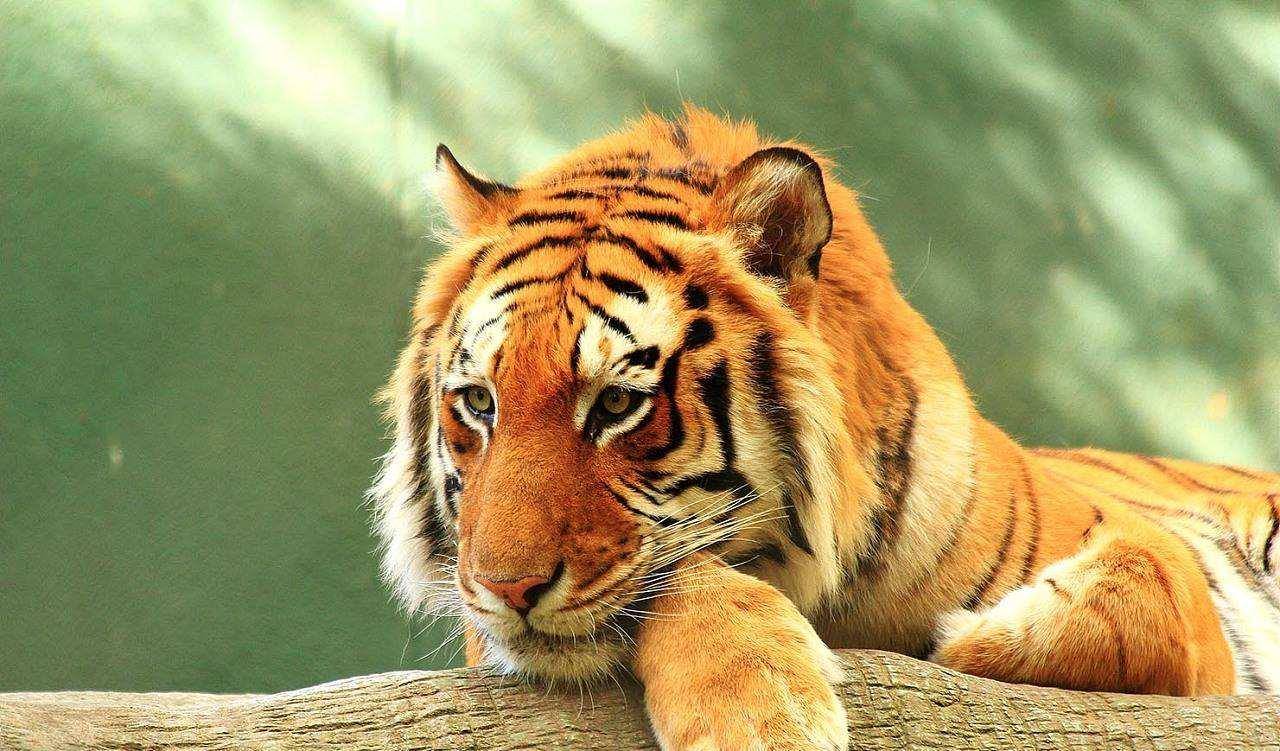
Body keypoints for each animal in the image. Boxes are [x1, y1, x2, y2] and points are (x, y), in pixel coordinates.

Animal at [370, 105, 1280, 751]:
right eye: (480, 403)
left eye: (619, 404)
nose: (503, 590)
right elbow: (684, 573)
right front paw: (763, 710)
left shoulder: (1160, 568)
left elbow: (1144, 588)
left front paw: (967, 637)